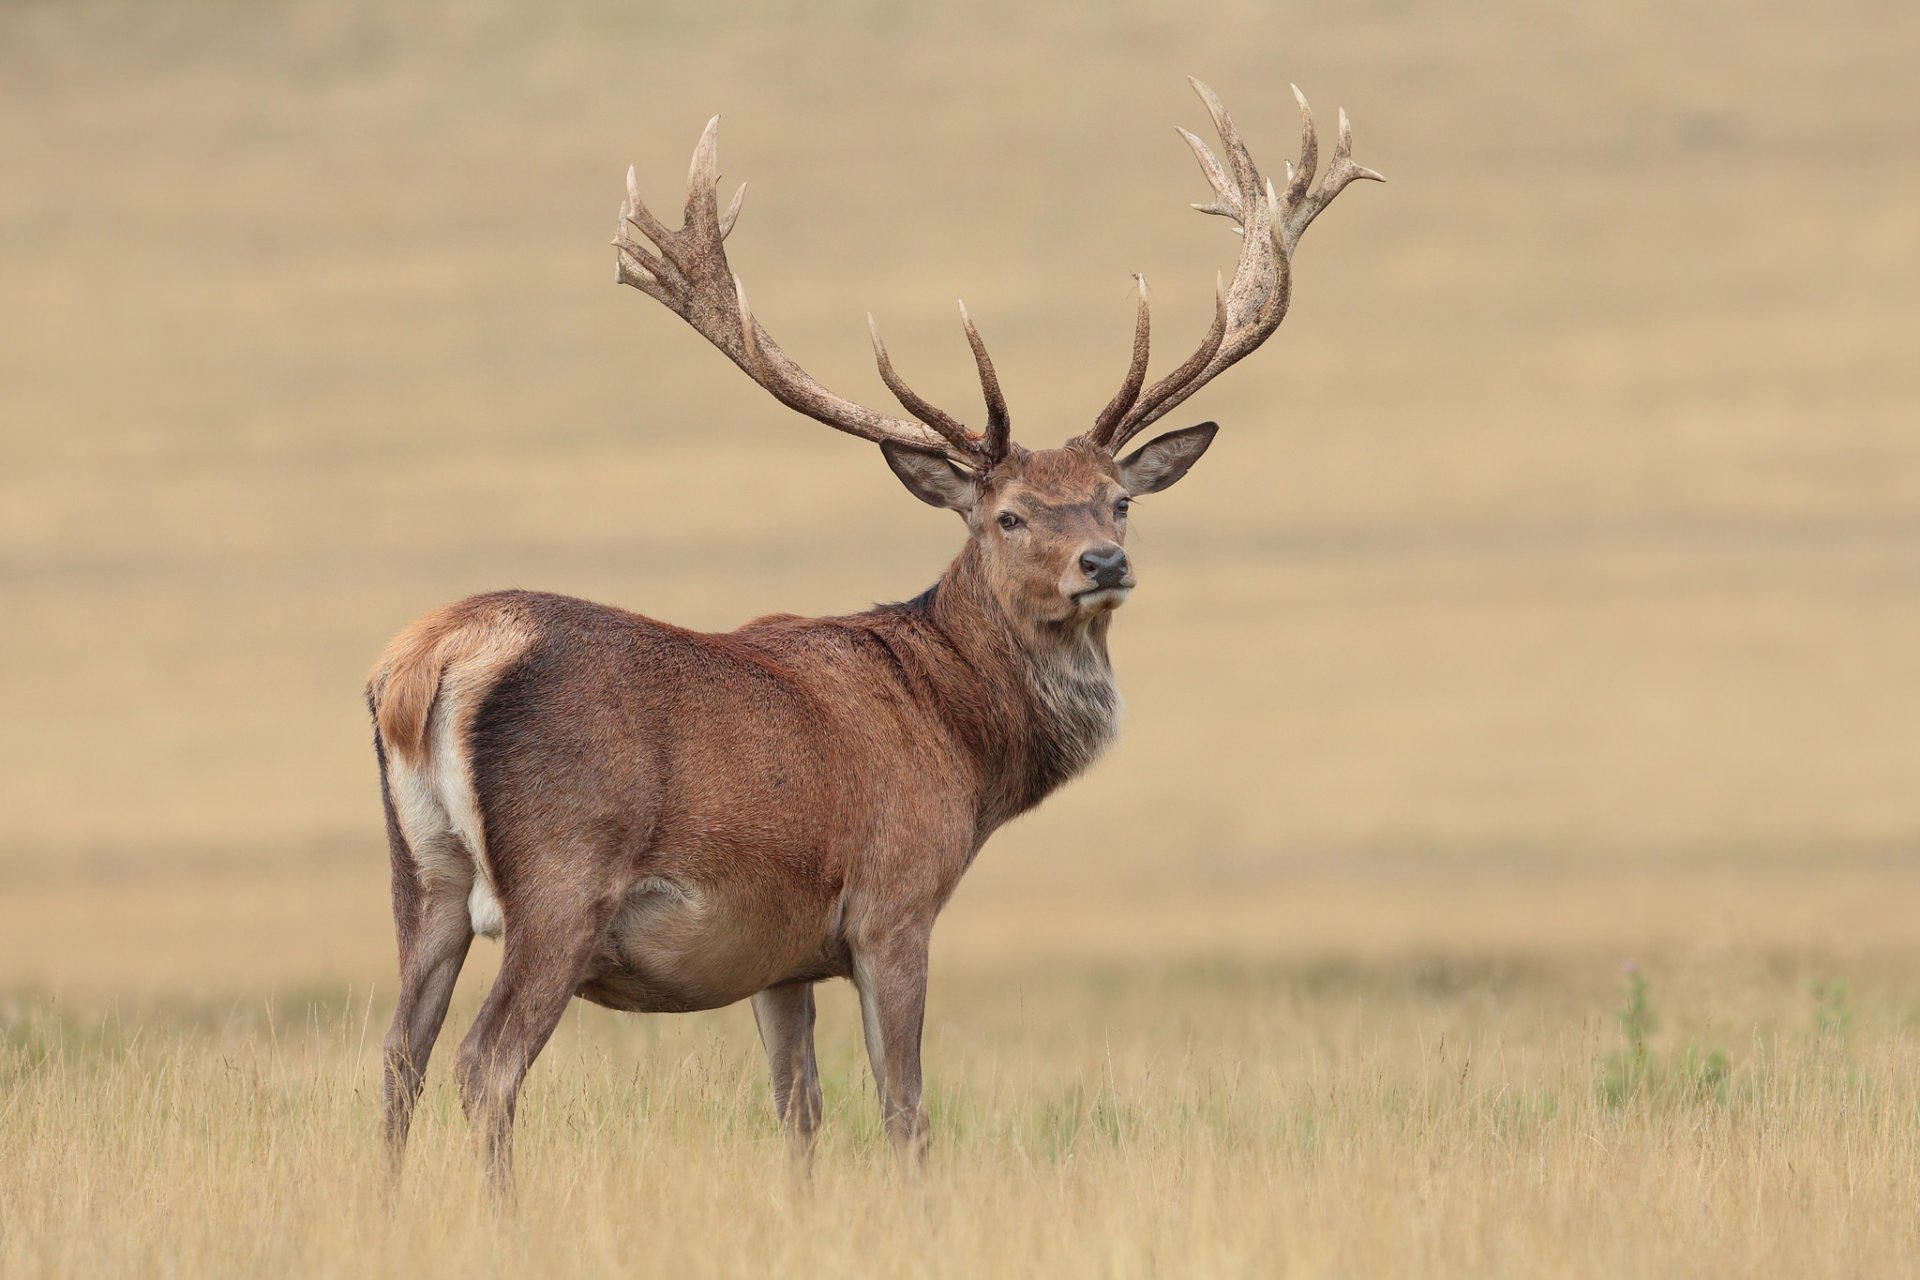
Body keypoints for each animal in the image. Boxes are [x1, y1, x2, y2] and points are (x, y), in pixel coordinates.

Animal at [367, 78, 1378, 1197]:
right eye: (1007, 516)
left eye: (1119, 501)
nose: (1104, 565)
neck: (965, 745)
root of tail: (431, 663)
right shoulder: (894, 903)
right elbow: (905, 1110)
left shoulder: (776, 951)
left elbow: (798, 1112)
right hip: (561, 878)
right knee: (485, 1062)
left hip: (423, 879)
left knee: (400, 1054)